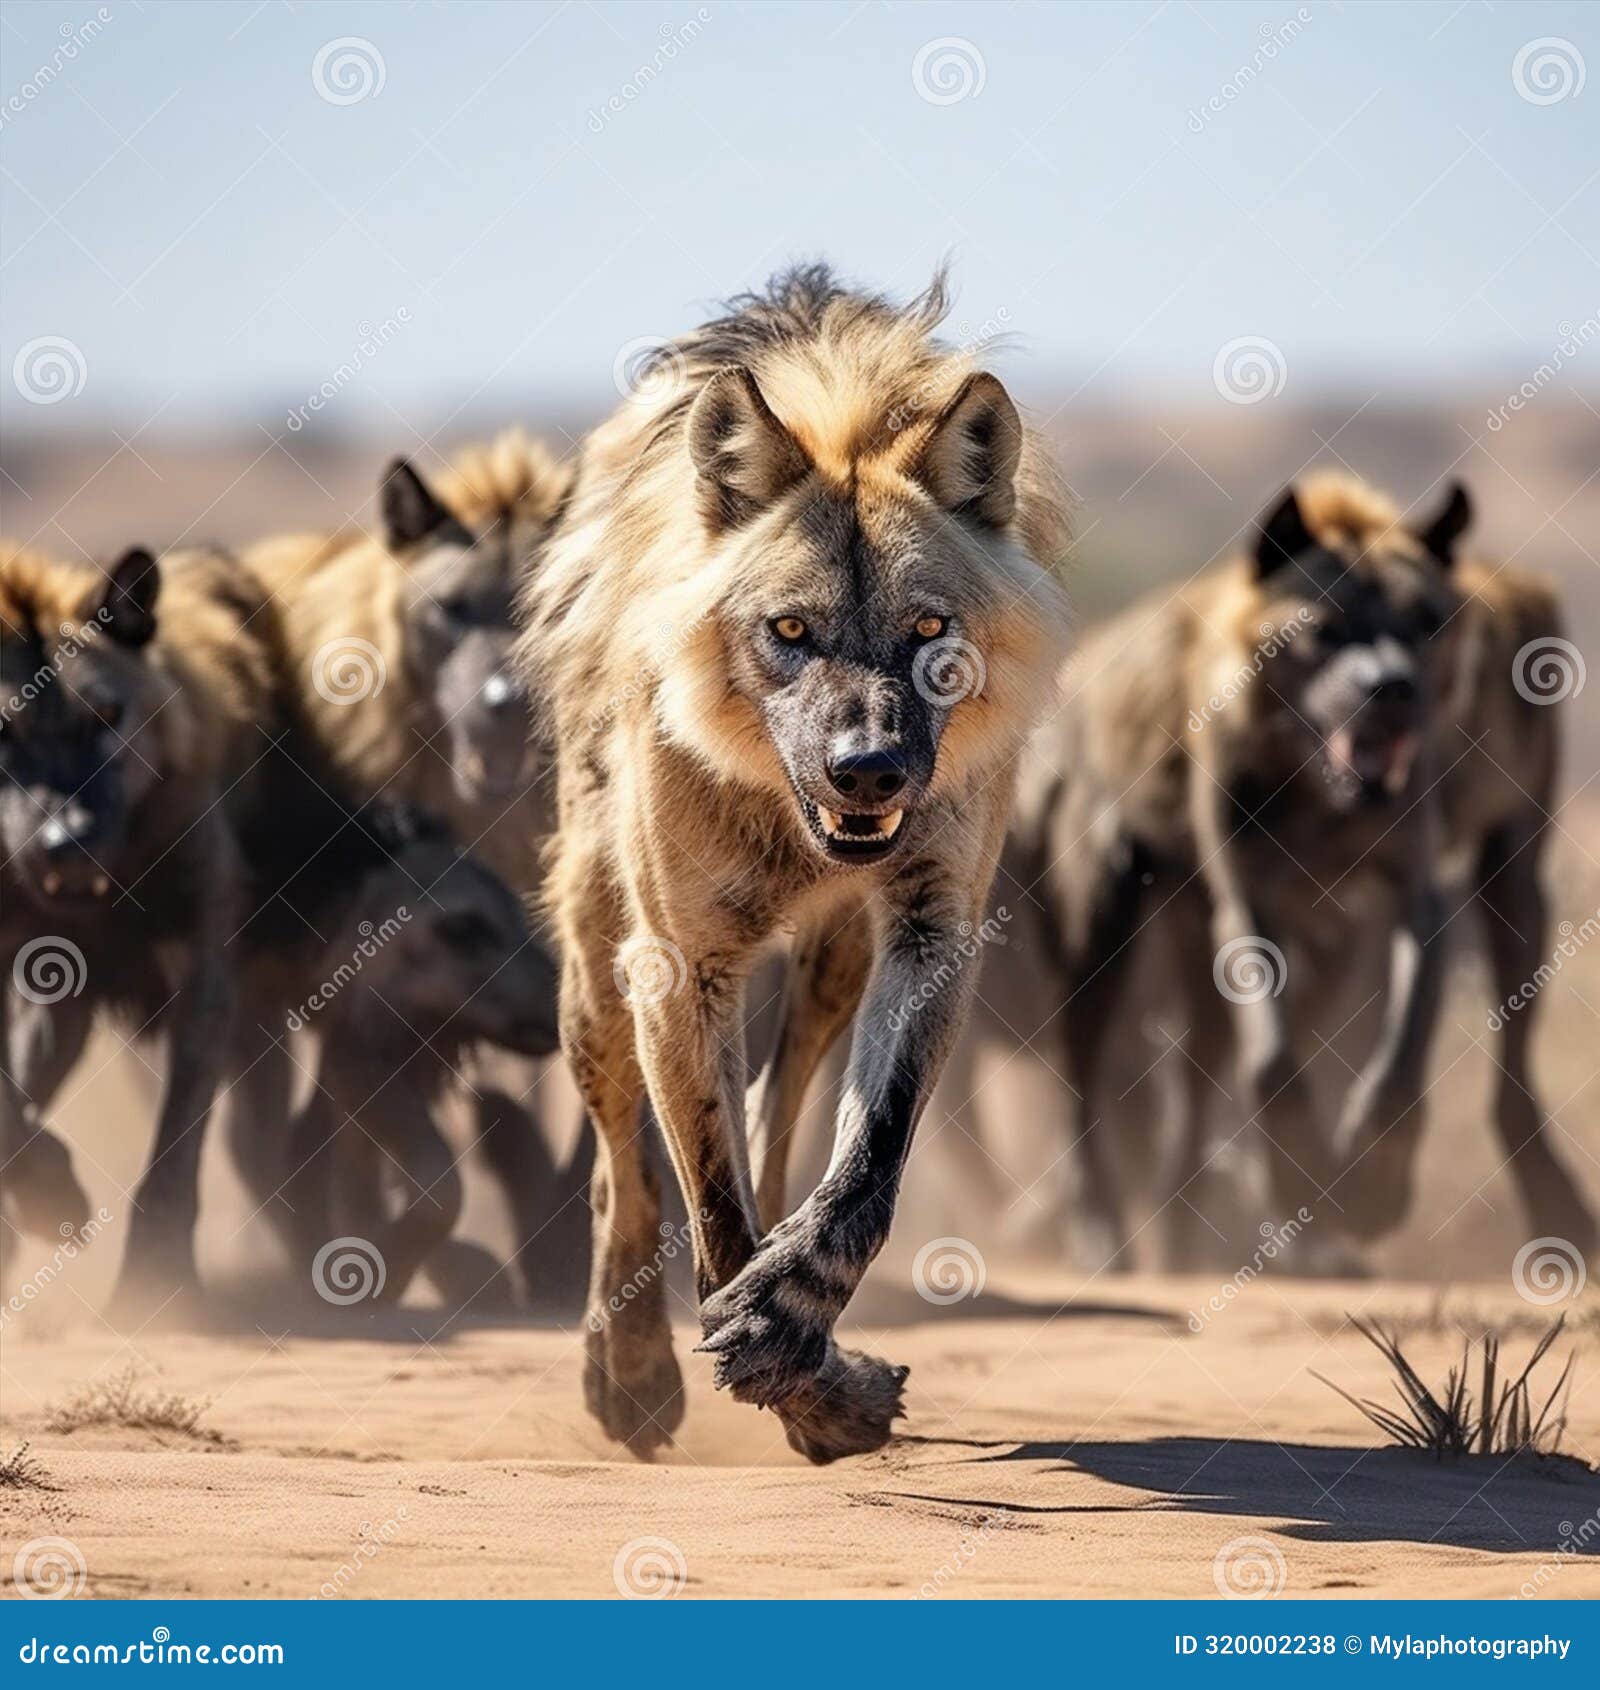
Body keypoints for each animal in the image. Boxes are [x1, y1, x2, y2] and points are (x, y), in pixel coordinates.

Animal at [518, 265, 1072, 1461]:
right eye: (789, 631)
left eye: (929, 630)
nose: (865, 770)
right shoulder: (680, 963)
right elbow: (709, 1206)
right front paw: (800, 1386)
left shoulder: (931, 935)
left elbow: (862, 1168)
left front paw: (790, 1335)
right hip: (598, 971)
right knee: (623, 1174)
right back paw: (627, 1372)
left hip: (829, 969)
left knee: (779, 1119)